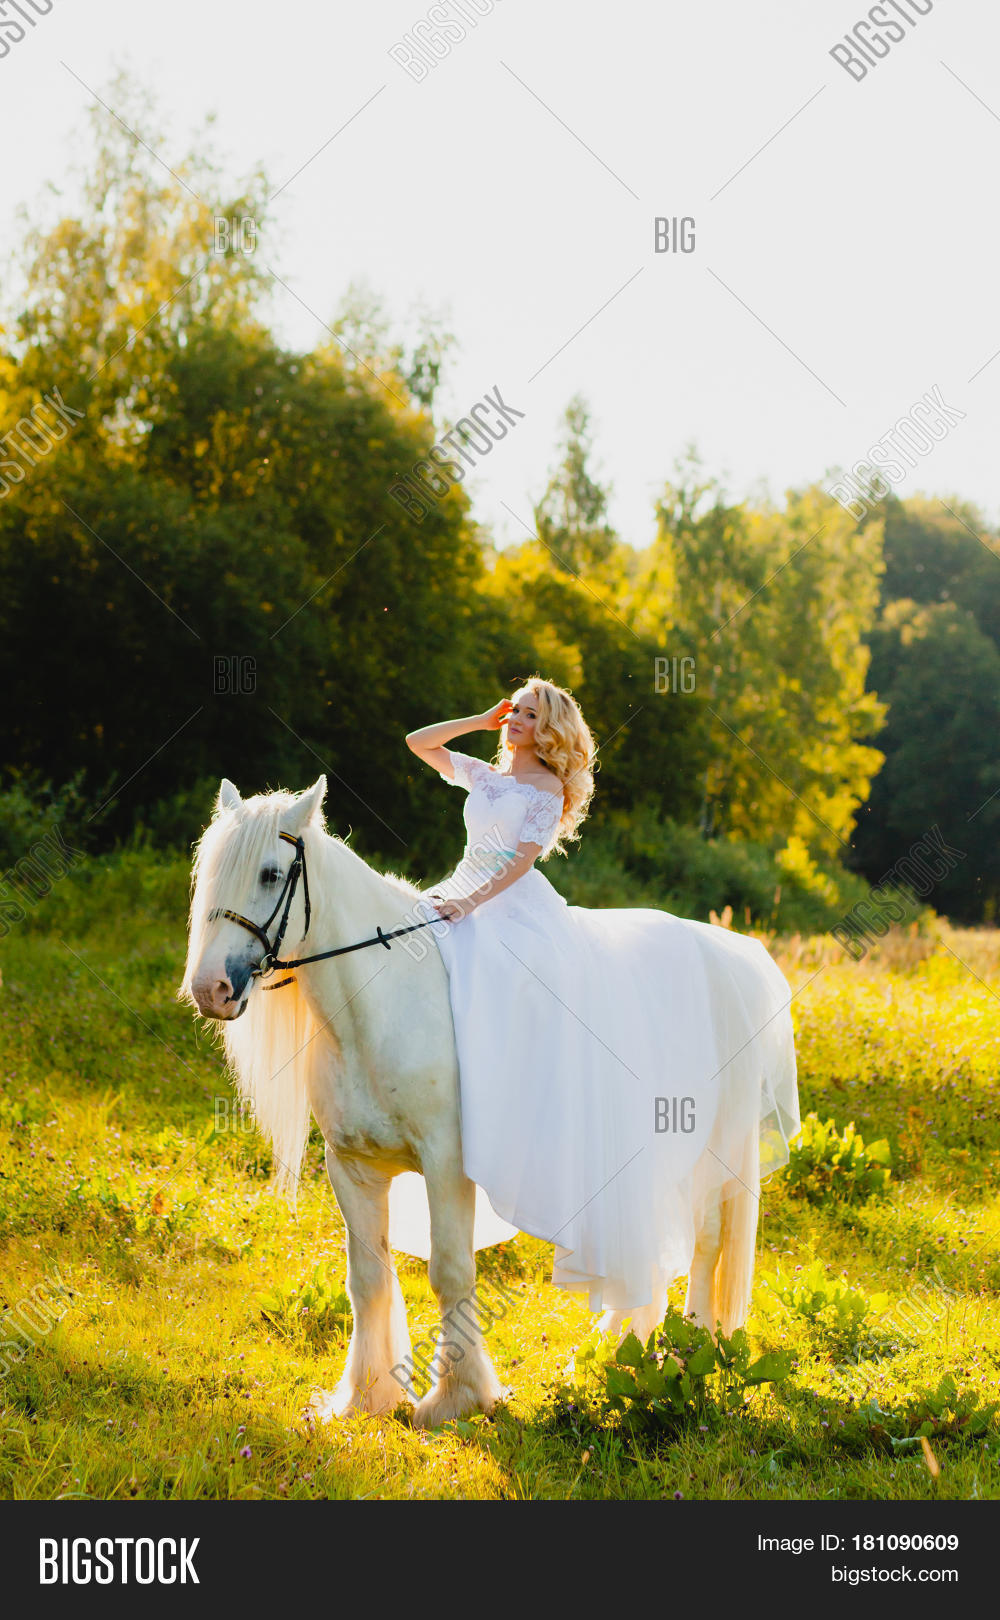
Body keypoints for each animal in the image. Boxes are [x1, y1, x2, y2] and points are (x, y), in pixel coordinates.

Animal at [180, 775, 796, 1428]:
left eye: (272, 873)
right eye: (210, 872)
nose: (210, 989)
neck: (382, 1005)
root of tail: (728, 955)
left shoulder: (447, 1165)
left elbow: (450, 1273)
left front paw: (455, 1398)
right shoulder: (352, 1167)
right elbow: (367, 1279)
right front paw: (365, 1396)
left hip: (710, 1150)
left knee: (706, 1243)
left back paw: (687, 1355)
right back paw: (621, 1349)